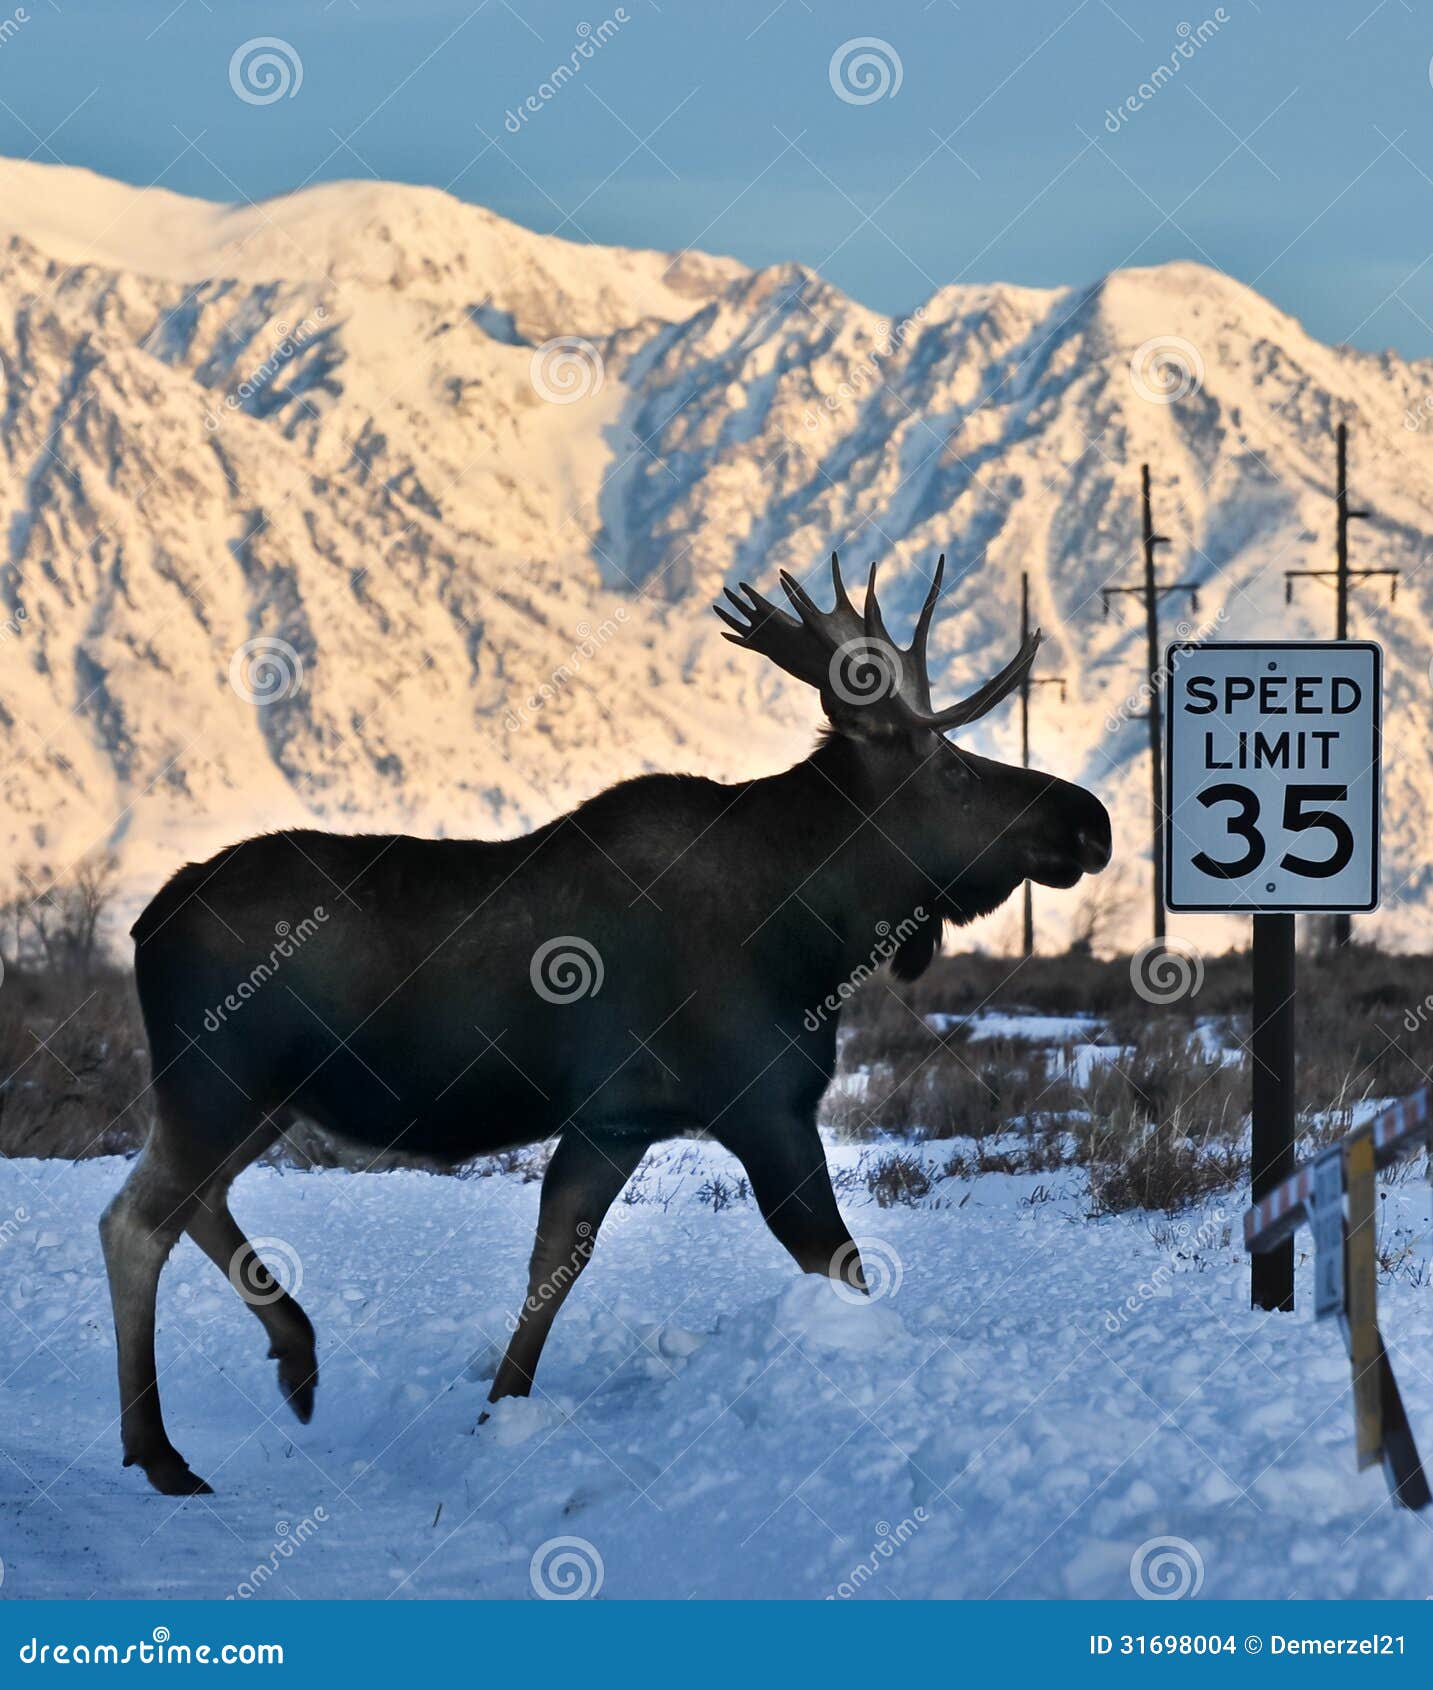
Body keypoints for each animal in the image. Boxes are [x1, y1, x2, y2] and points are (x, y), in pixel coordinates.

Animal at [101, 554, 1110, 1495]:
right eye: (953, 768)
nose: (1091, 821)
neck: (815, 930)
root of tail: (146, 921)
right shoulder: (764, 1104)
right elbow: (837, 1258)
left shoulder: (614, 1123)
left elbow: (555, 1261)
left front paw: (498, 1410)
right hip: (217, 1084)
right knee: (135, 1221)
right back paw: (161, 1451)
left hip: (257, 1100)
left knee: (191, 1204)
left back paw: (297, 1356)